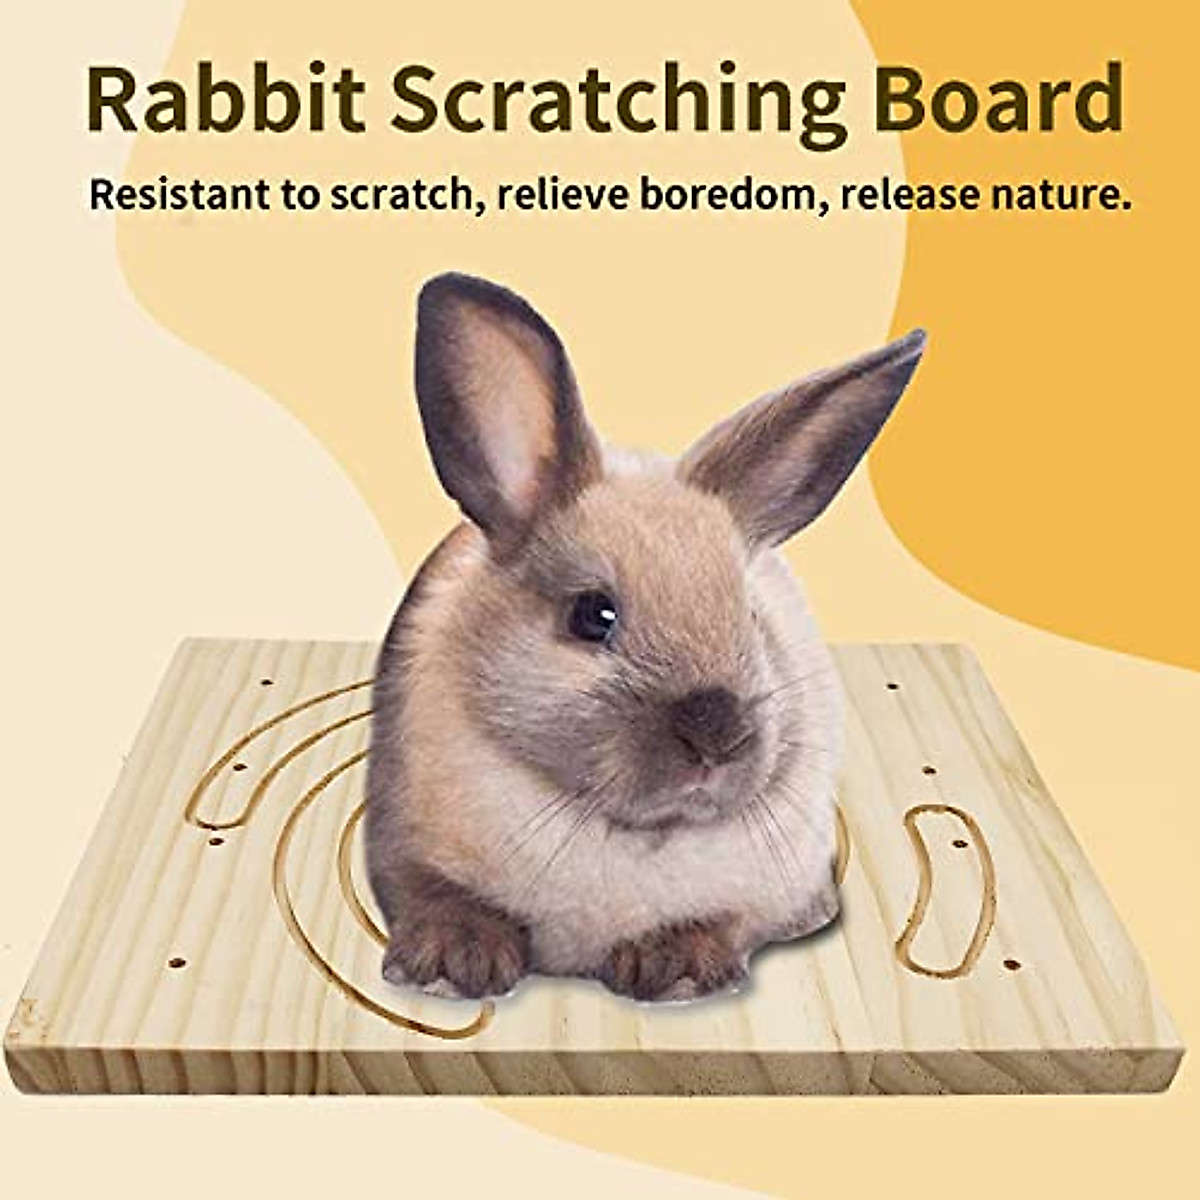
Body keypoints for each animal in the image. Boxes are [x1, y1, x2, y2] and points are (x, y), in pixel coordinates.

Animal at [366, 272, 925, 1003]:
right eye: (592, 615)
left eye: (750, 617)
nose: (717, 735)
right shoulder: (402, 847)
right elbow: (436, 897)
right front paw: (456, 963)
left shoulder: (760, 893)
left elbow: (722, 920)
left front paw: (676, 969)